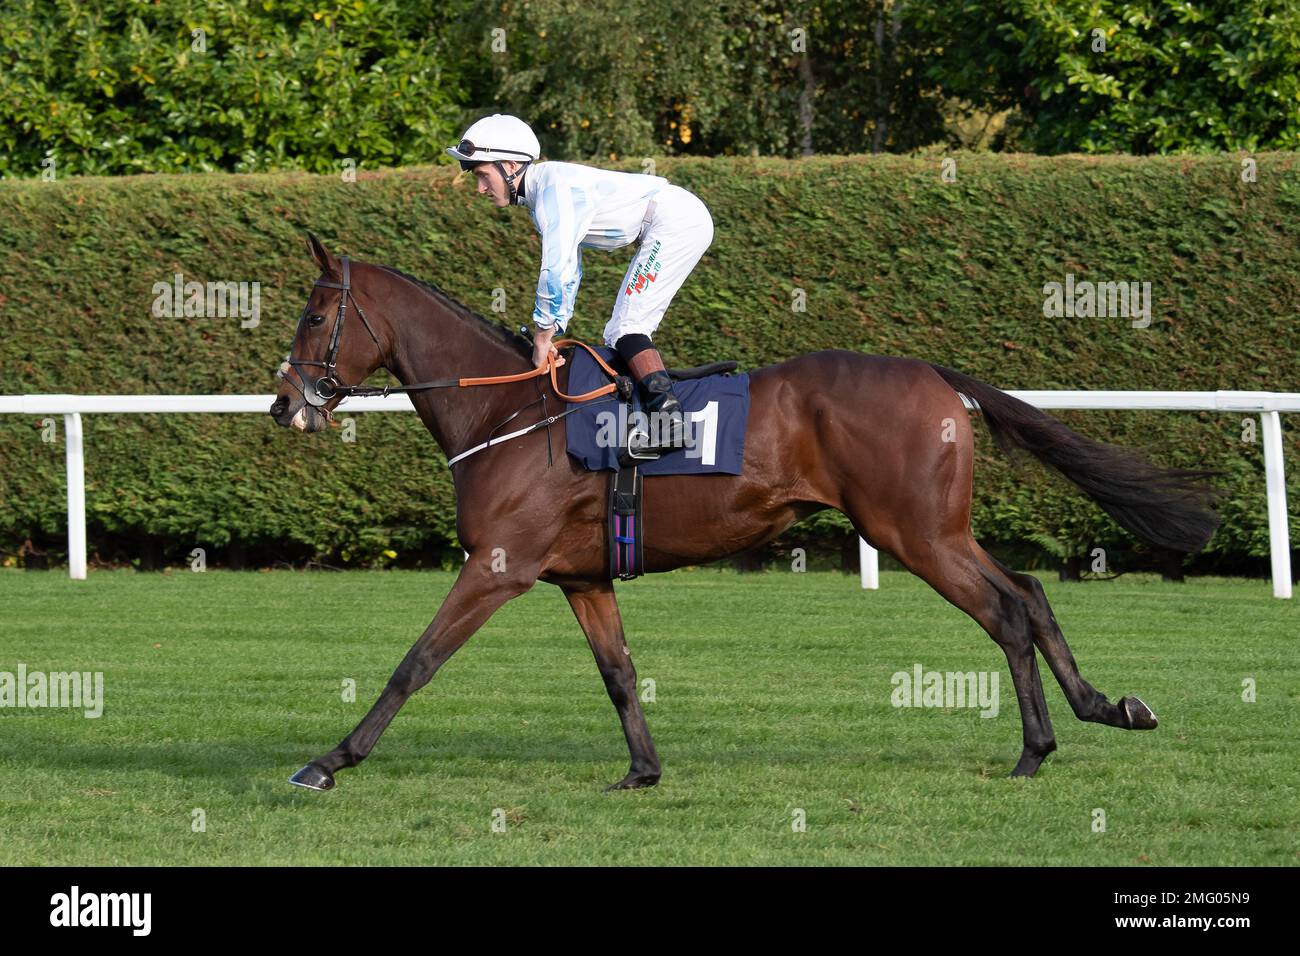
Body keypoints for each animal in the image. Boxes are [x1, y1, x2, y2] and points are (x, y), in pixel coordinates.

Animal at [270, 234, 1221, 791]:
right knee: (1029, 590)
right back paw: (1106, 708)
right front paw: (643, 770)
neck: (507, 413)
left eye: (315, 313)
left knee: (1006, 612)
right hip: (938, 529)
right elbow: (619, 674)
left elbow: (414, 663)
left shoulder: (499, 565)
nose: (283, 405)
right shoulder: (581, 578)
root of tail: (936, 376)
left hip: (913, 534)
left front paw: (328, 761)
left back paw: (1034, 750)